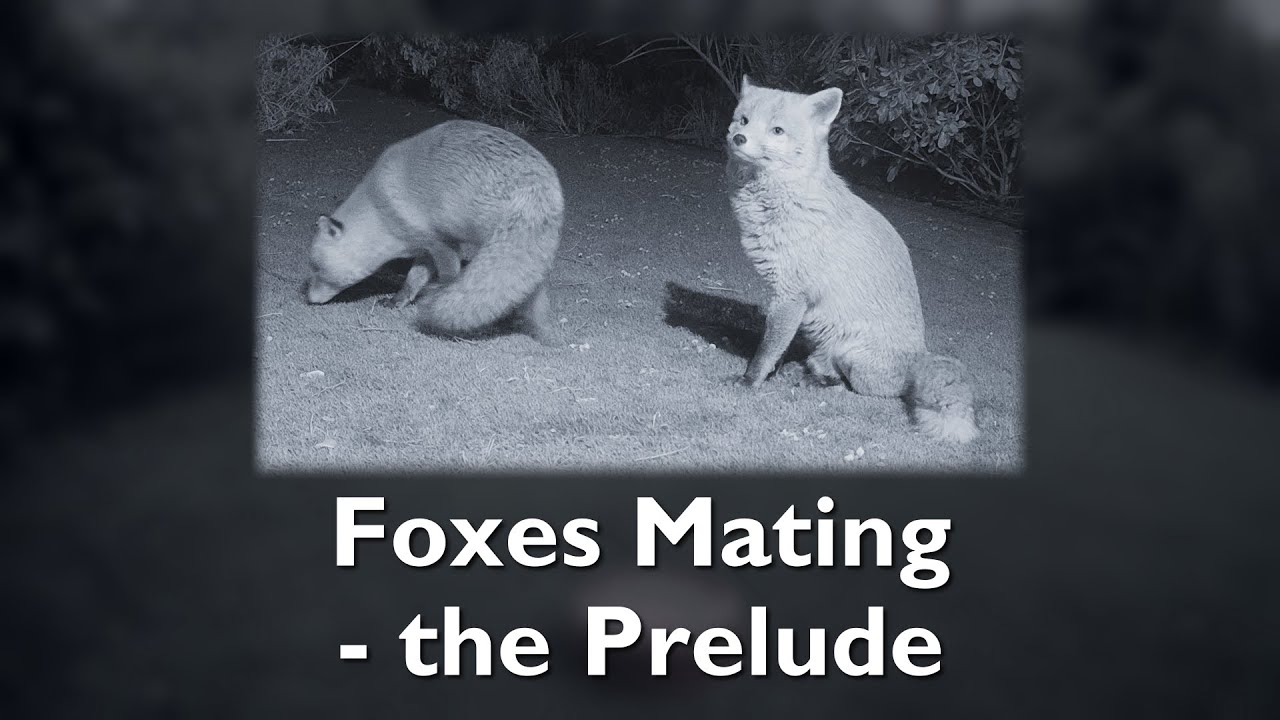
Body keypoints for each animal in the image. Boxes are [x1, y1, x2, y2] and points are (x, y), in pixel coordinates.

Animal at [305, 119, 564, 344]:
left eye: (318, 268)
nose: (308, 299)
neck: (380, 210)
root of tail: (538, 180)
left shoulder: (443, 243)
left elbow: (449, 277)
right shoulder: (423, 248)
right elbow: (413, 280)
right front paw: (398, 301)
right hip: (528, 256)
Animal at [725, 76, 978, 444]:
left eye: (777, 130)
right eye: (743, 121)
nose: (739, 139)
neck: (787, 201)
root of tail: (918, 357)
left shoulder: (791, 296)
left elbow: (767, 350)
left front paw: (750, 381)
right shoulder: (786, 297)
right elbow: (775, 348)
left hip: (850, 356)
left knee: (853, 388)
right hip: (819, 338)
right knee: (825, 371)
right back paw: (806, 374)